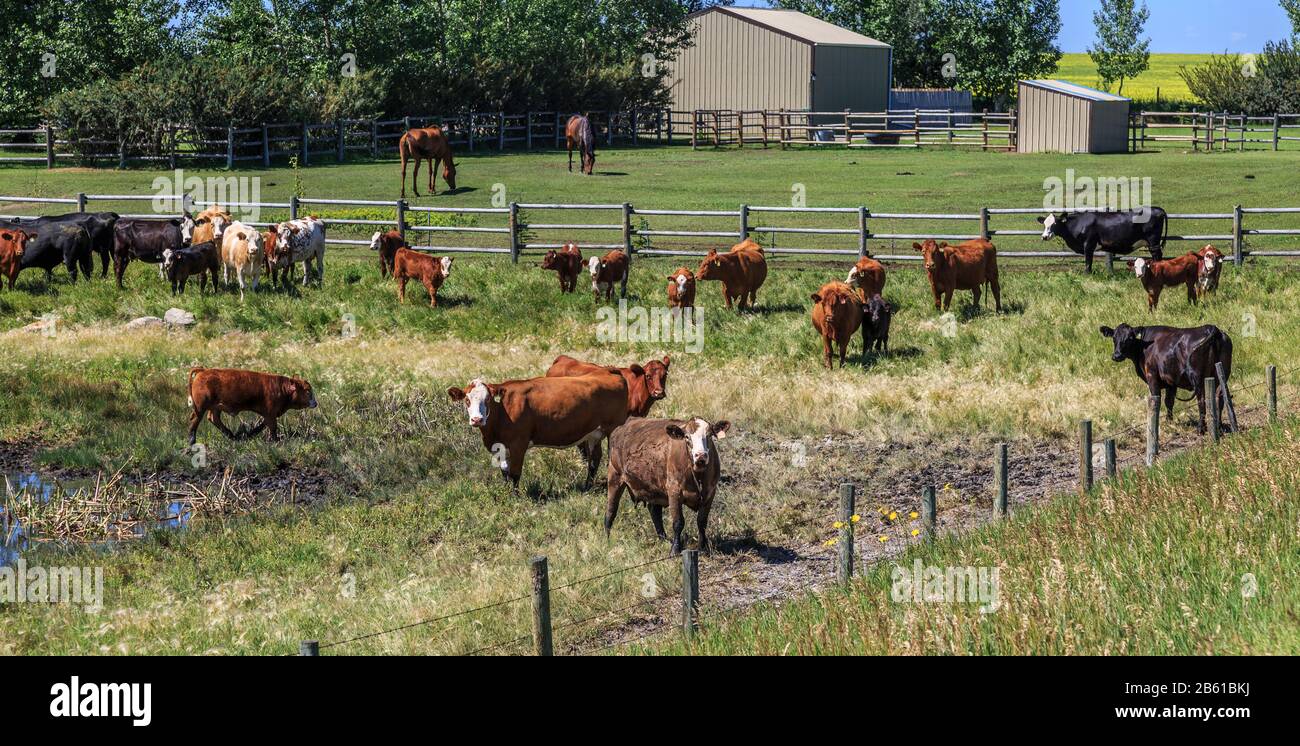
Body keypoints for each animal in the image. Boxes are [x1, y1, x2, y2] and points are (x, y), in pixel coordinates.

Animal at [186, 367, 318, 446]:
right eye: (307, 391)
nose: (315, 403)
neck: (281, 389)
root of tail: (203, 371)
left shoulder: (269, 413)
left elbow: (264, 425)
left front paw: (250, 434)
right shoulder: (270, 412)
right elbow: (273, 427)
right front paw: (275, 440)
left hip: (215, 407)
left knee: (214, 418)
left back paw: (232, 436)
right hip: (200, 407)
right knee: (196, 420)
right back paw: (192, 441)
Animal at [447, 371, 630, 489]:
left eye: (488, 399)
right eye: (467, 400)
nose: (477, 419)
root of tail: (611, 373)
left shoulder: (518, 443)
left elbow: (514, 473)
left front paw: (515, 497)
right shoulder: (499, 446)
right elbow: (504, 472)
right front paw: (506, 493)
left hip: (615, 428)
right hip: (594, 433)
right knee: (594, 459)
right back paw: (587, 487)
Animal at [605, 417, 731, 555]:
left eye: (709, 435)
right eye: (687, 437)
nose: (701, 456)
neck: (698, 476)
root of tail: (624, 425)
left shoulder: (710, 493)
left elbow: (701, 522)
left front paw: (703, 548)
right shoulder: (674, 492)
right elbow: (678, 522)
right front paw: (675, 550)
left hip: (653, 487)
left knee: (655, 512)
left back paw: (663, 539)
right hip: (614, 477)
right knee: (611, 511)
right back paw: (608, 539)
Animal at [1039, 208, 1169, 273]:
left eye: (1055, 224)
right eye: (1045, 224)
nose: (1044, 236)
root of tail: (1157, 209)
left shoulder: (1088, 245)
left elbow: (1088, 262)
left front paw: (1087, 275)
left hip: (1153, 241)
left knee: (1157, 255)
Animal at [1100, 324, 1233, 435]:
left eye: (1130, 338)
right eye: (1114, 338)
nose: (1117, 355)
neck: (1143, 347)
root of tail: (1211, 328)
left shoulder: (1152, 377)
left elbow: (1156, 401)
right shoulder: (1171, 382)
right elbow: (1169, 402)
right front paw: (1170, 422)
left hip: (1198, 378)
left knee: (1202, 400)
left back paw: (1201, 428)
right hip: (1222, 373)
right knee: (1220, 397)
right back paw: (1219, 425)